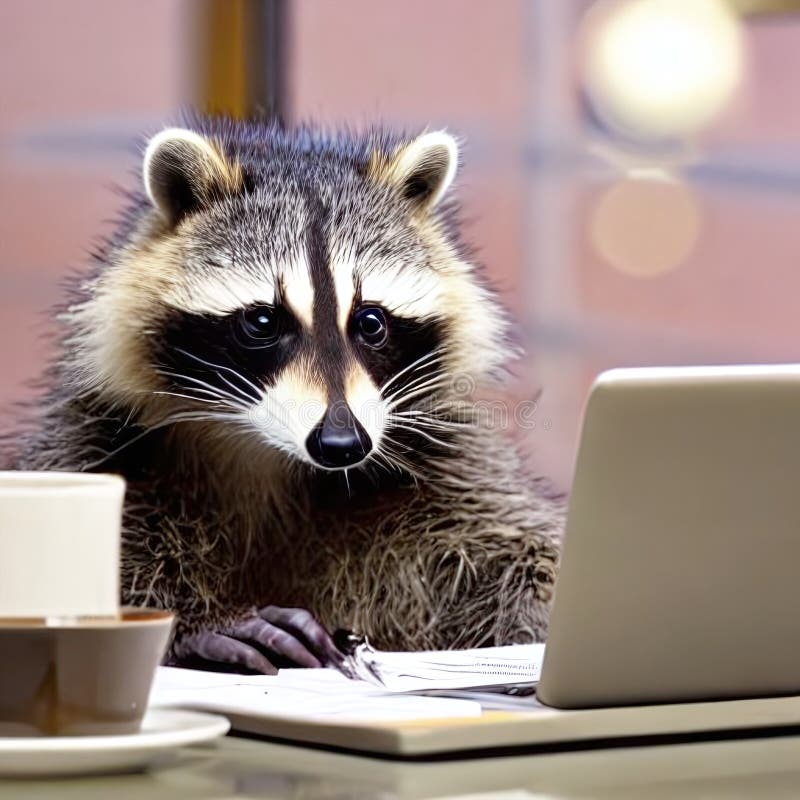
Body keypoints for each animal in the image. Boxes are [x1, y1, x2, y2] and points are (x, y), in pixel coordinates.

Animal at [4, 116, 564, 673]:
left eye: (371, 322)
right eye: (263, 322)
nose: (342, 445)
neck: (266, 451)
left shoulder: (445, 461)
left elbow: (520, 546)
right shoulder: (95, 439)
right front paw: (204, 619)